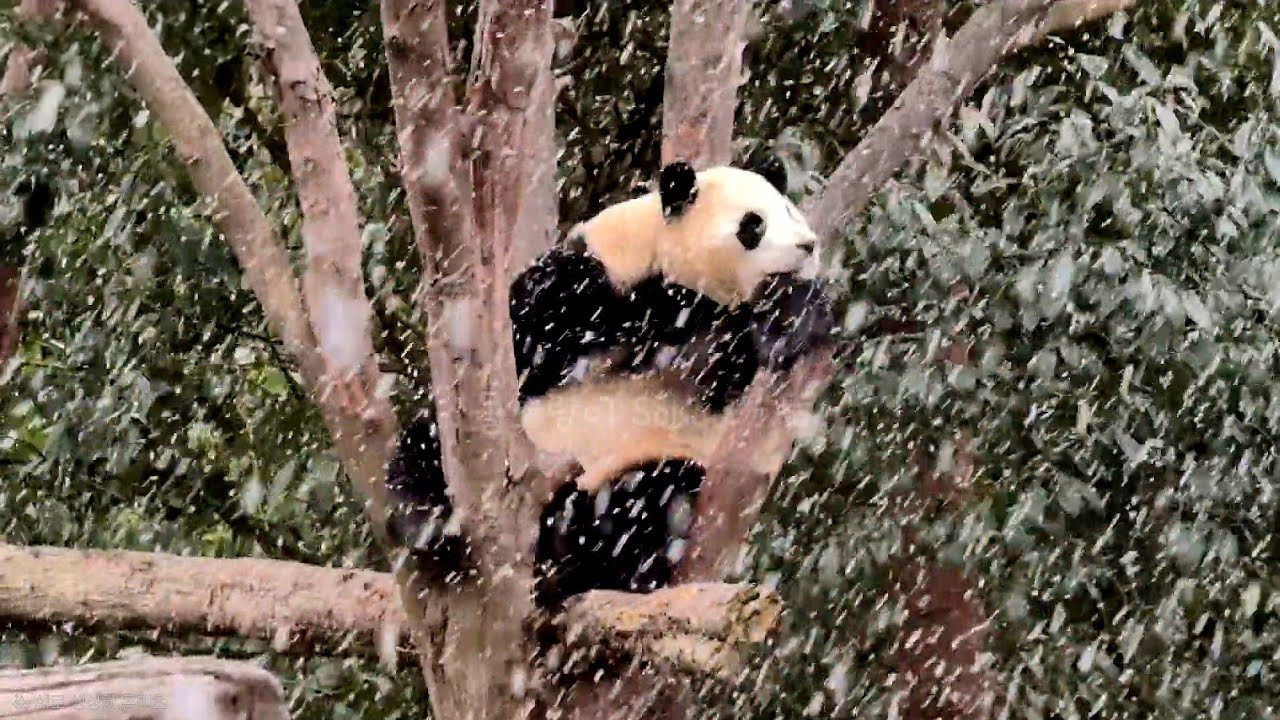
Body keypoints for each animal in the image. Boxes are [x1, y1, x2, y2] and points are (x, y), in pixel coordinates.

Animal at [386, 157, 837, 607]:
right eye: (753, 225)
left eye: (790, 211)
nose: (808, 245)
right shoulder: (589, 266)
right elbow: (539, 332)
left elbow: (724, 366)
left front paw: (796, 312)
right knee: (422, 449)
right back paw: (430, 523)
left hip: (639, 464)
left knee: (652, 498)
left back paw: (586, 557)